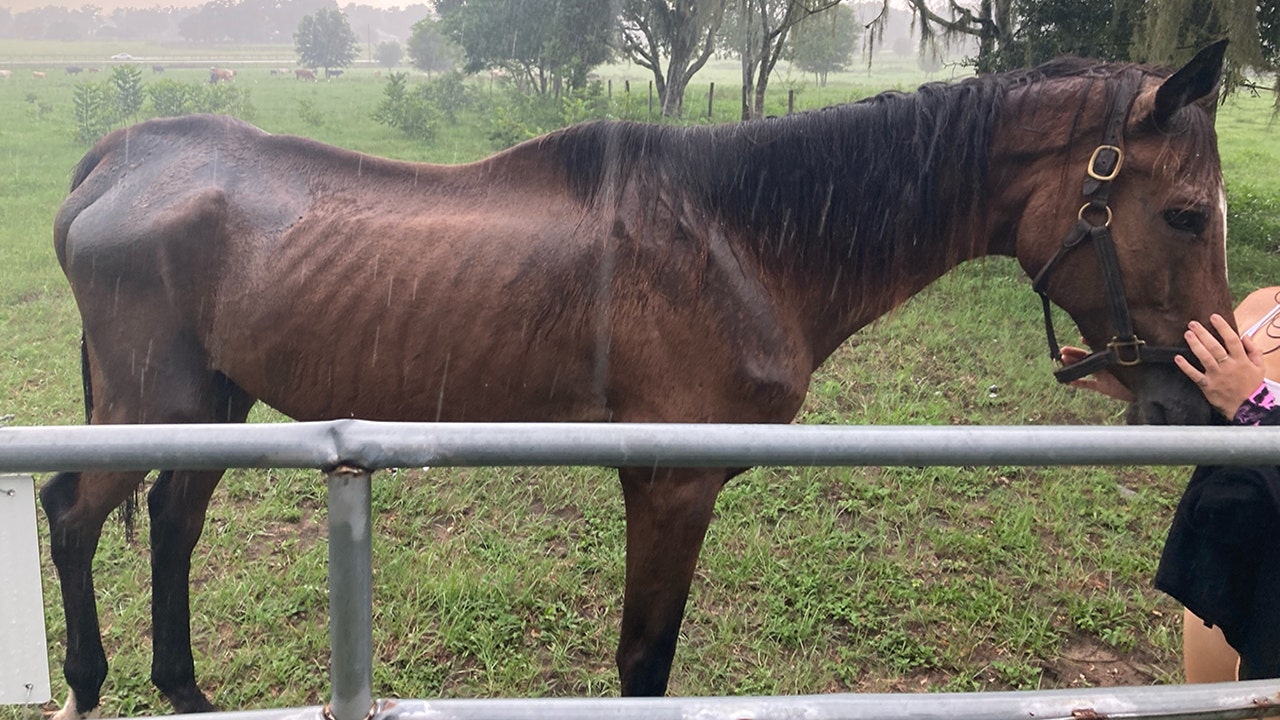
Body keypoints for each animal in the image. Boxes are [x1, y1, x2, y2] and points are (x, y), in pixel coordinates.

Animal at [44, 42, 1231, 718]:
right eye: (1181, 215)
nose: (1193, 401)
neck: (738, 239)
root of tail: (122, 160)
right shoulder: (670, 487)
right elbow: (643, 664)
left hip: (215, 405)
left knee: (174, 523)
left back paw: (184, 690)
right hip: (152, 407)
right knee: (71, 515)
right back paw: (92, 685)